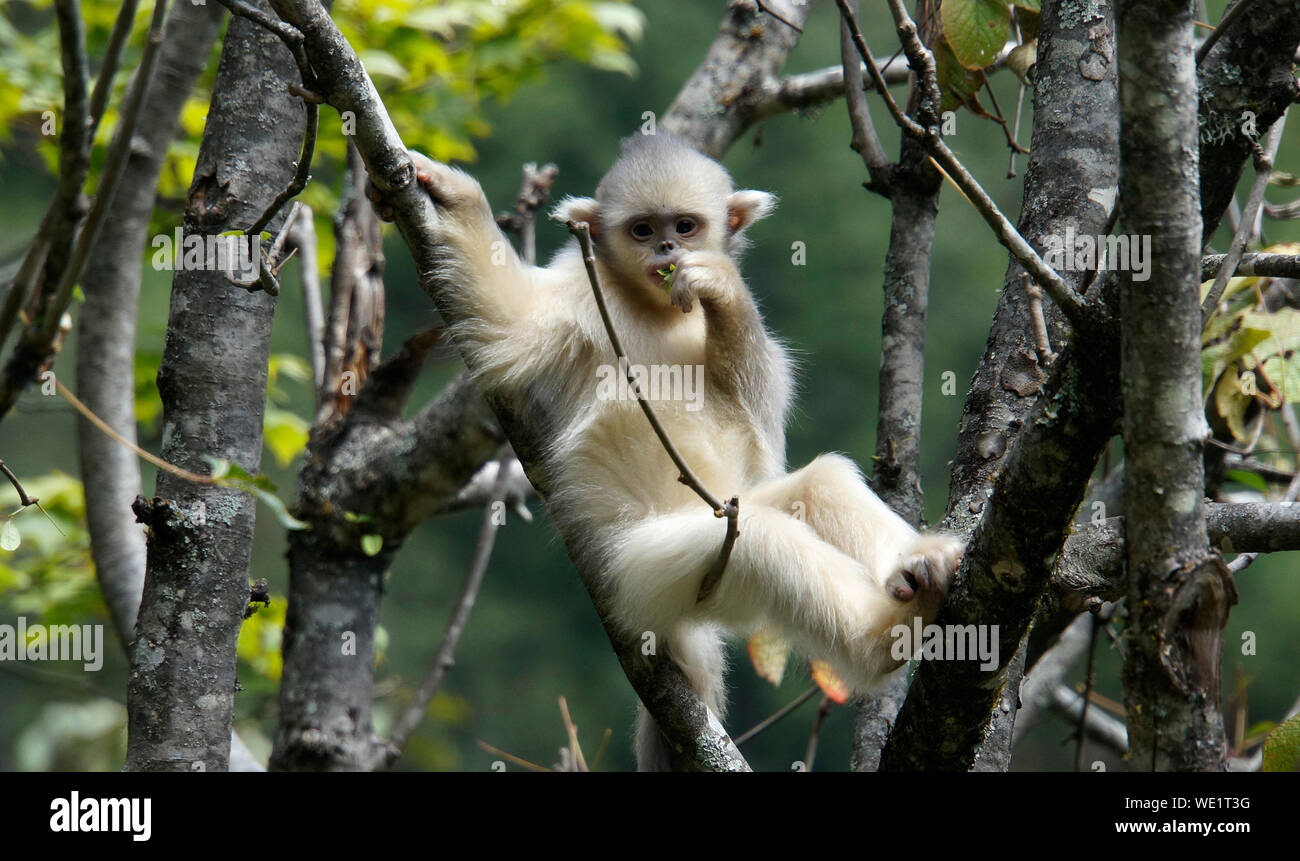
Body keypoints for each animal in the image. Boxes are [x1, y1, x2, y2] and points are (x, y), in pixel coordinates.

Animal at [368, 133, 963, 770]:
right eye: (641, 230)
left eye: (684, 225)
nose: (666, 249)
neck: (654, 308)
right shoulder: (579, 291)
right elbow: (508, 317)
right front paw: (452, 192)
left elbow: (765, 439)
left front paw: (721, 292)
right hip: (652, 574)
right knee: (761, 539)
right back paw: (885, 639)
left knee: (816, 483)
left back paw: (925, 568)